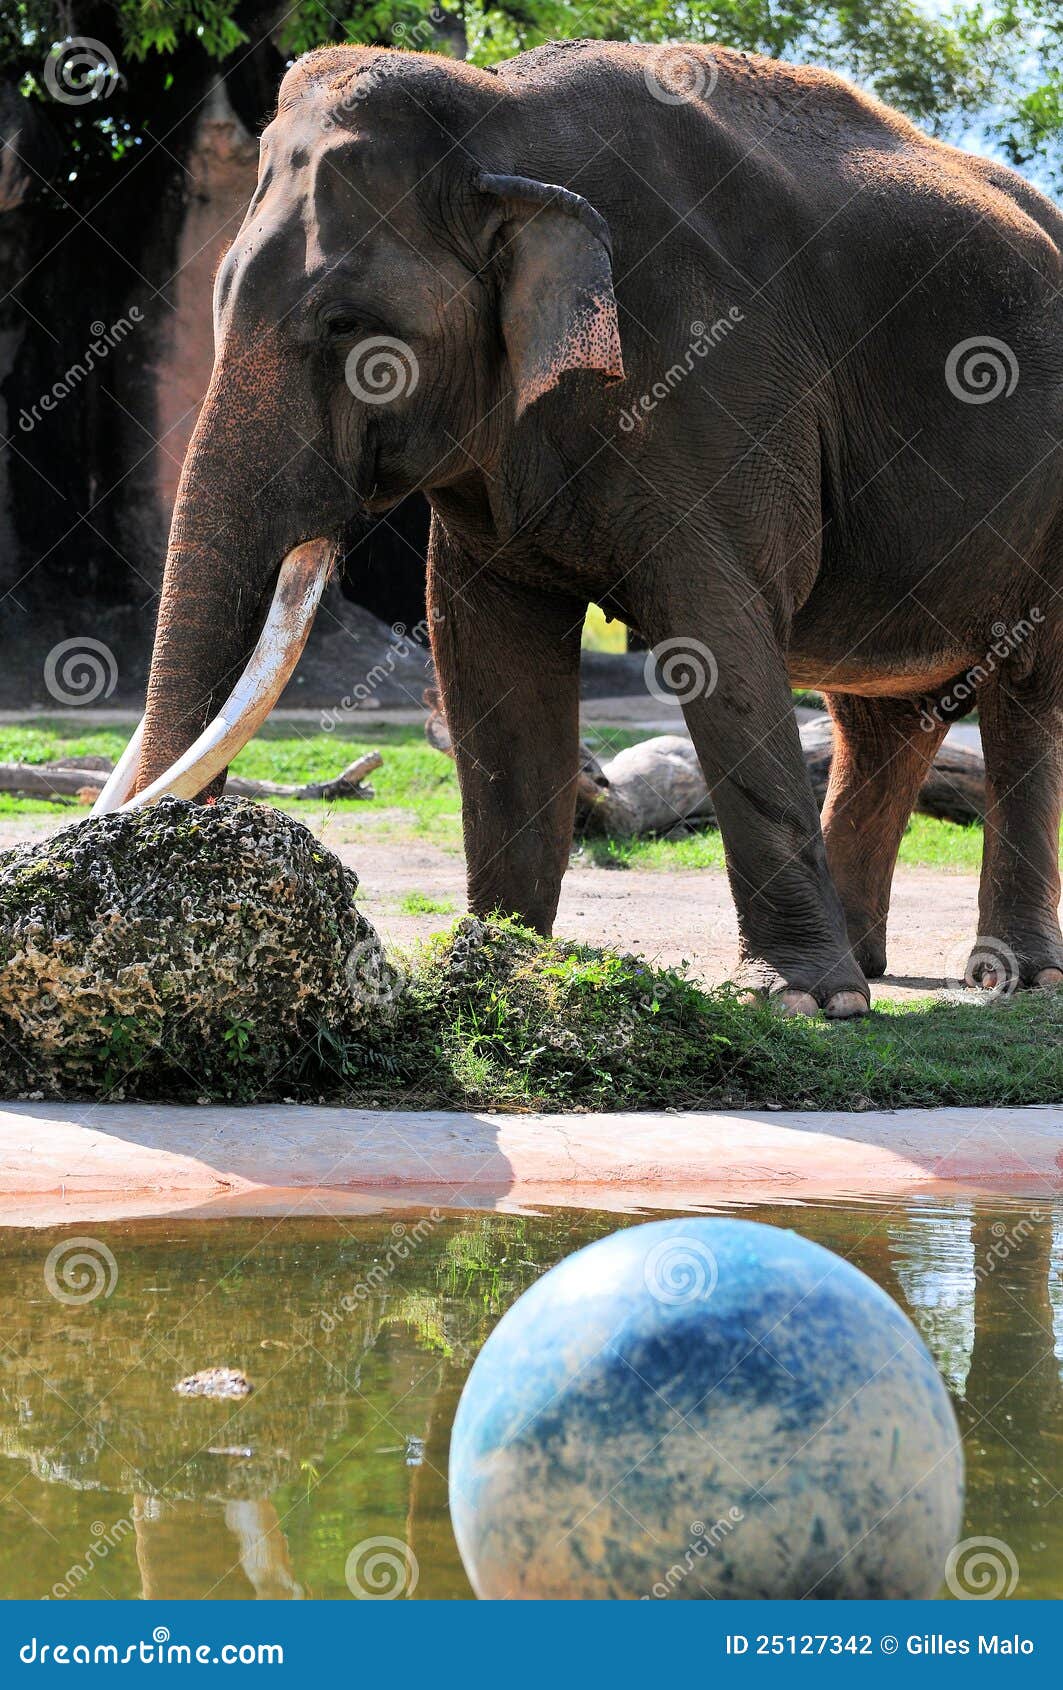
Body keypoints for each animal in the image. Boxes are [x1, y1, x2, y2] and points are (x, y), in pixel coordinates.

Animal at [103, 38, 1063, 1017]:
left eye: (347, 325)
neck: (500, 115)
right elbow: (490, 659)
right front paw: (492, 964)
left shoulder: (717, 379)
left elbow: (722, 639)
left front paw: (792, 1002)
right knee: (883, 718)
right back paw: (867, 970)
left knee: (1024, 693)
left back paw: (1007, 978)